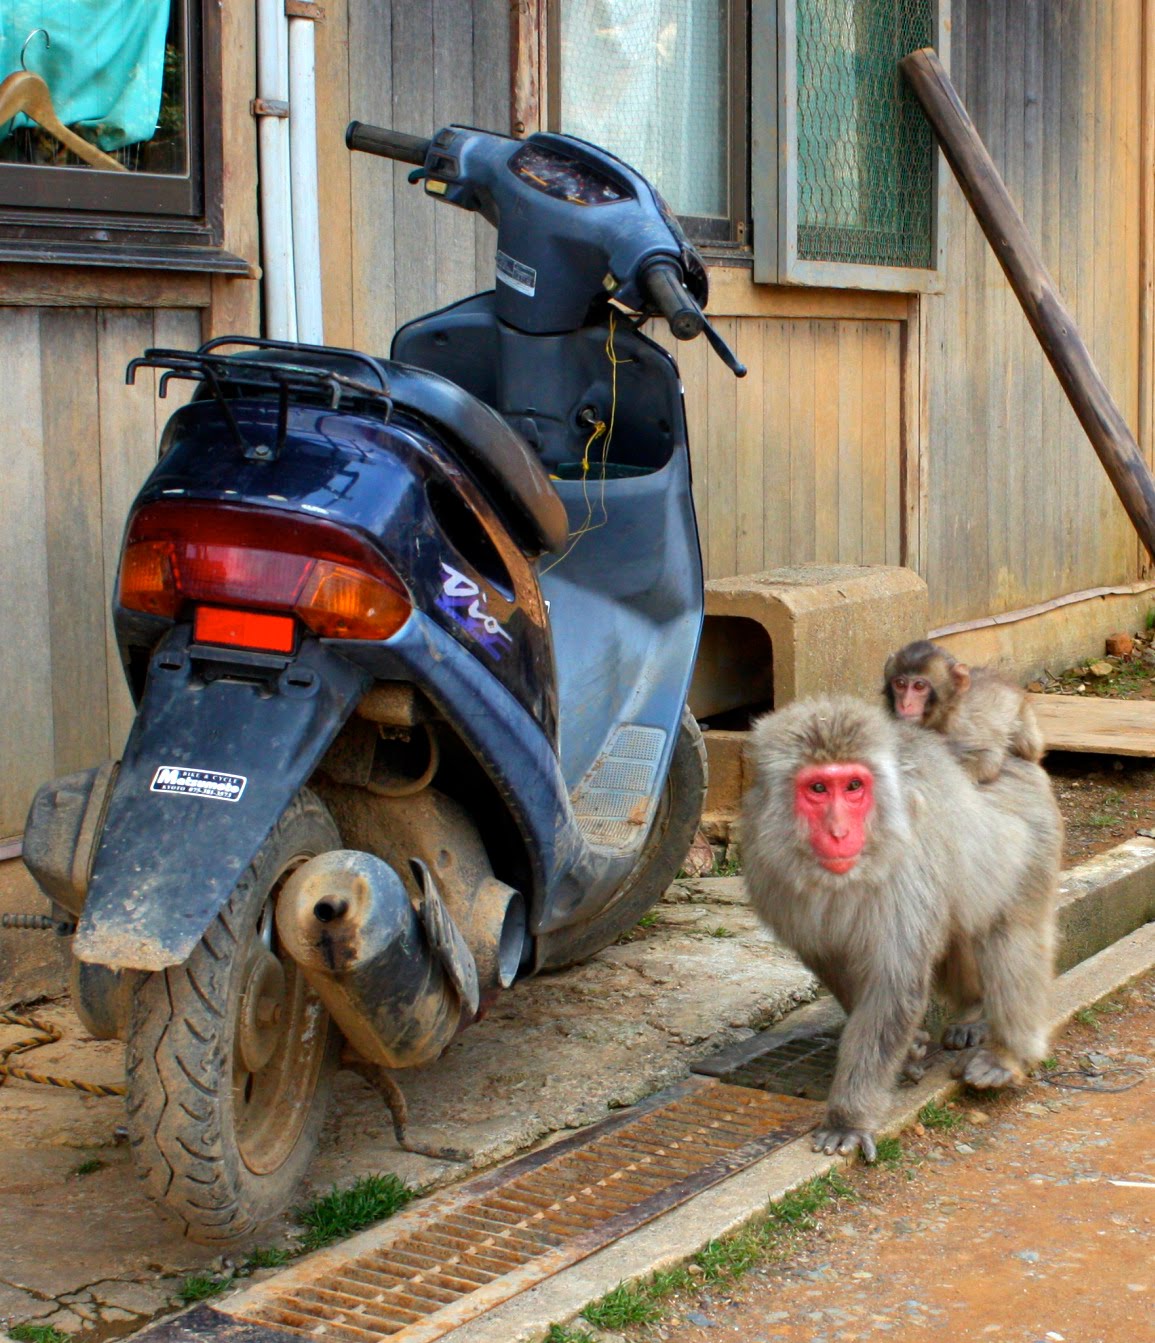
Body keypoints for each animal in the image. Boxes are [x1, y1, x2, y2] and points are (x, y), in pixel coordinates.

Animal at [741, 696, 1061, 1162]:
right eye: (818, 789)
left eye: (854, 786)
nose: (839, 832)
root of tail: (1018, 760)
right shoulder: (770, 873)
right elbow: (831, 962)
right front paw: (909, 1052)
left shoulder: (909, 868)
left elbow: (895, 985)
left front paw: (848, 1119)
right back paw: (974, 1010)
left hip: (1029, 843)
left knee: (1010, 933)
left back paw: (1006, 1054)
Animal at [883, 640, 1045, 785]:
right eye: (900, 684)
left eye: (919, 686)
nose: (905, 704)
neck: (944, 716)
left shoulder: (964, 728)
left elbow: (990, 755)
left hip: (1024, 714)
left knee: (1027, 745)